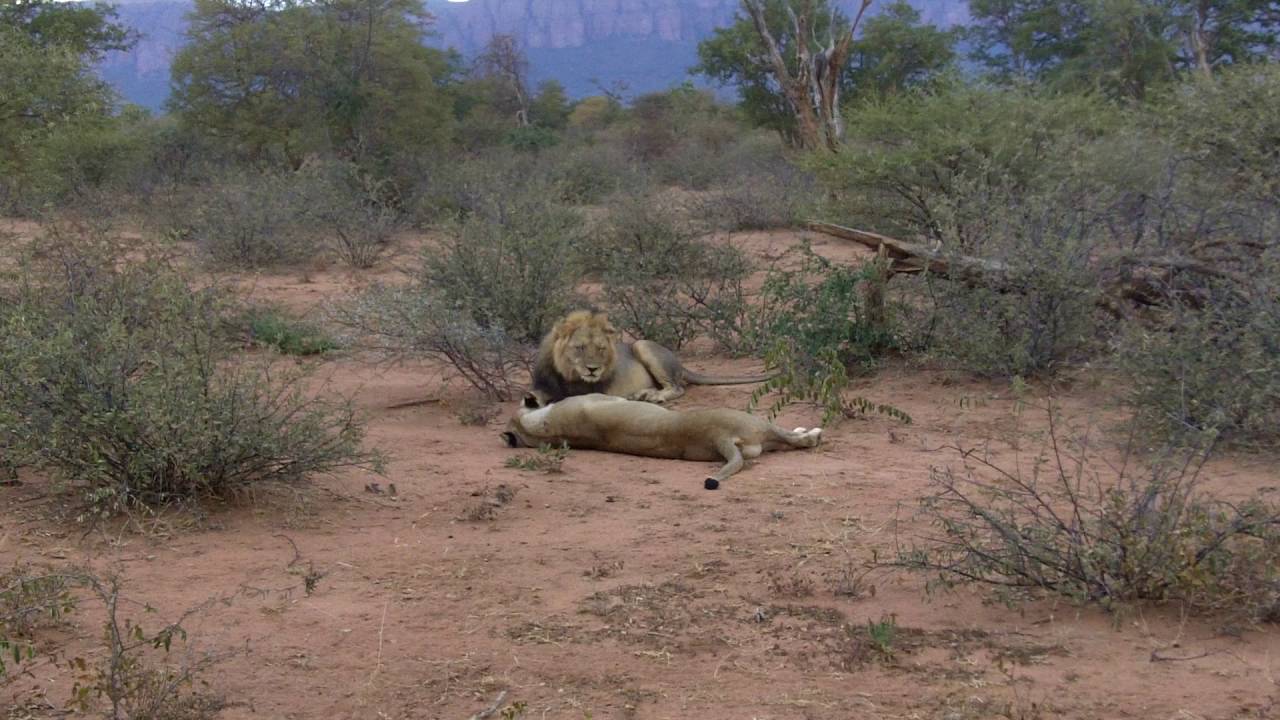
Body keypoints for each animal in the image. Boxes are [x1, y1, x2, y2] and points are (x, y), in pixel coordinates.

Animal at [530, 310, 775, 406]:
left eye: (601, 348)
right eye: (579, 348)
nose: (593, 369)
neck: (566, 374)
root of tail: (682, 365)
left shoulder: (590, 392)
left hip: (642, 345)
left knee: (677, 388)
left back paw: (653, 396)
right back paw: (642, 394)